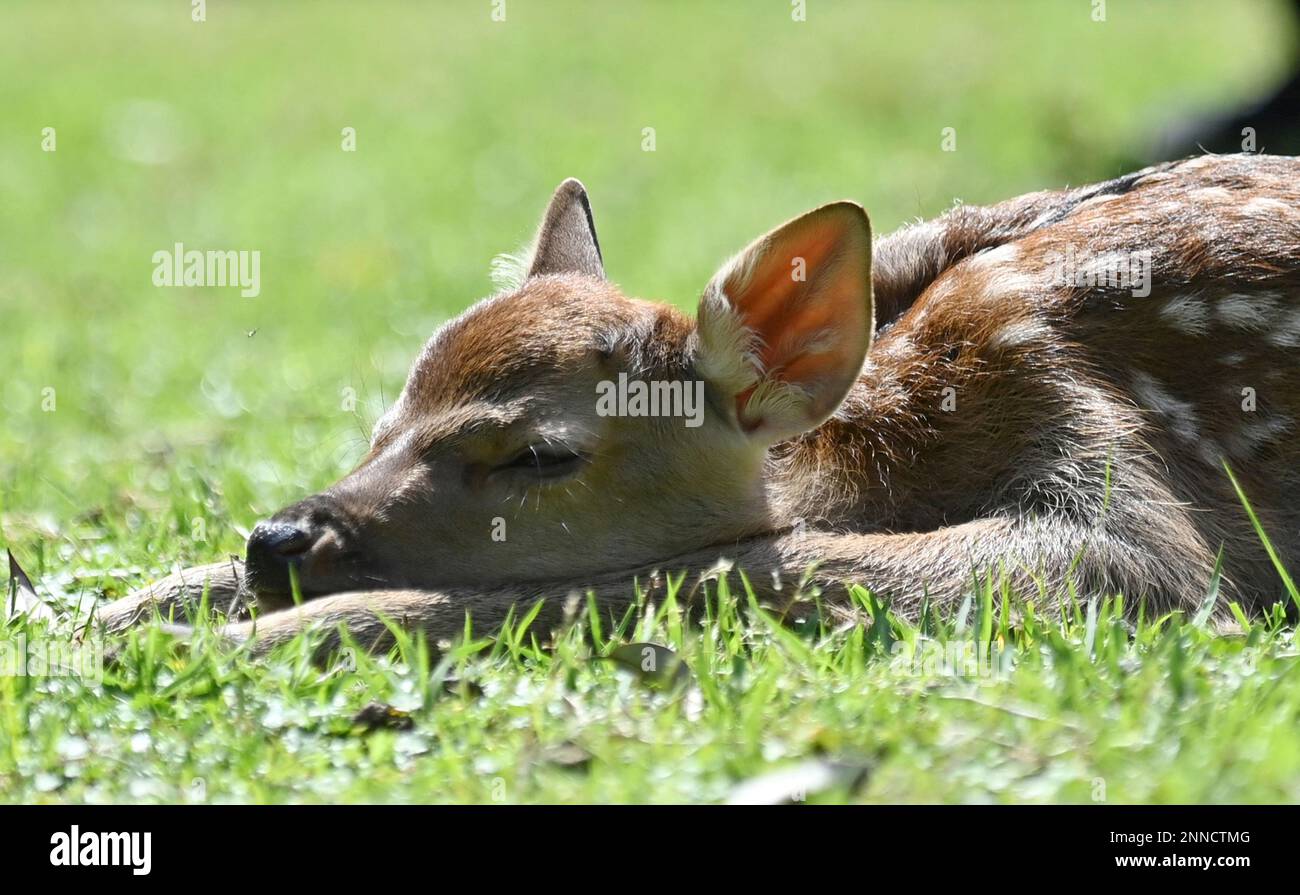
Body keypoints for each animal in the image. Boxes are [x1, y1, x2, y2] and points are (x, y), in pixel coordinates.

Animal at [98, 153, 1300, 656]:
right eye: (378, 424)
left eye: (540, 453)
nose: (279, 540)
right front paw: (113, 612)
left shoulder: (1110, 481)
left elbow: (745, 564)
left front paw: (271, 637)